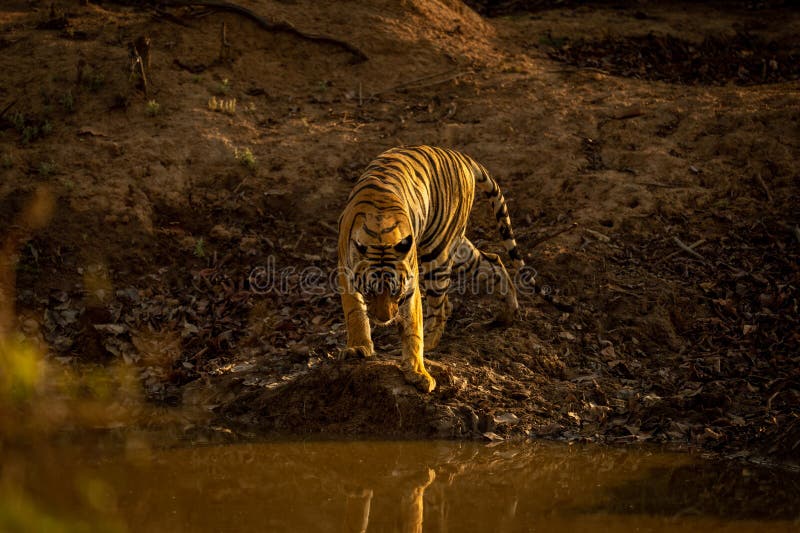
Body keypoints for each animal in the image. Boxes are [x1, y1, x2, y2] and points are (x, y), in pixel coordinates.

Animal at [337, 145, 526, 393]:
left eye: (395, 292)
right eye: (370, 292)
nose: (386, 318)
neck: (380, 234)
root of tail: (461, 156)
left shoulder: (410, 285)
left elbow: (413, 329)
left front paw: (418, 373)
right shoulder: (346, 274)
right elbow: (355, 313)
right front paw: (358, 348)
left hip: (437, 253)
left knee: (439, 308)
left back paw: (430, 341)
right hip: (455, 247)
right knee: (492, 261)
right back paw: (507, 314)